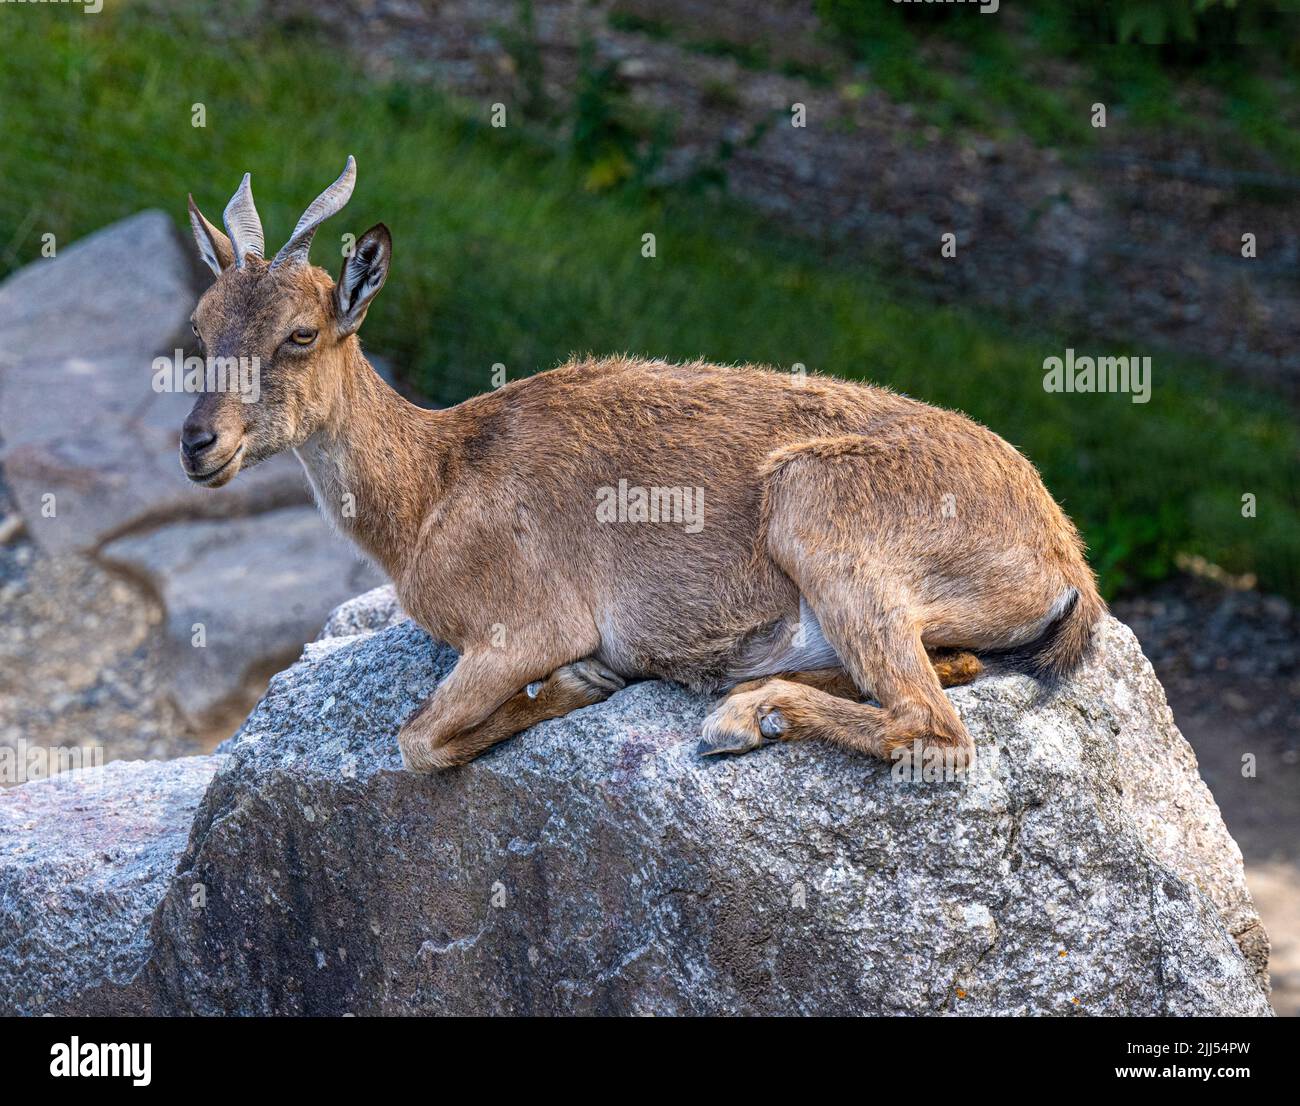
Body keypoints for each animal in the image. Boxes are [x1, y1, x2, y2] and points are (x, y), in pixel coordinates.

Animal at [182, 158, 1105, 773]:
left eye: (301, 334)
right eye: (200, 325)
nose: (200, 445)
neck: (433, 487)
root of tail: (1064, 561)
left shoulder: (528, 624)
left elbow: (418, 739)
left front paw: (586, 682)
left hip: (818, 510)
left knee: (935, 730)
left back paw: (743, 717)